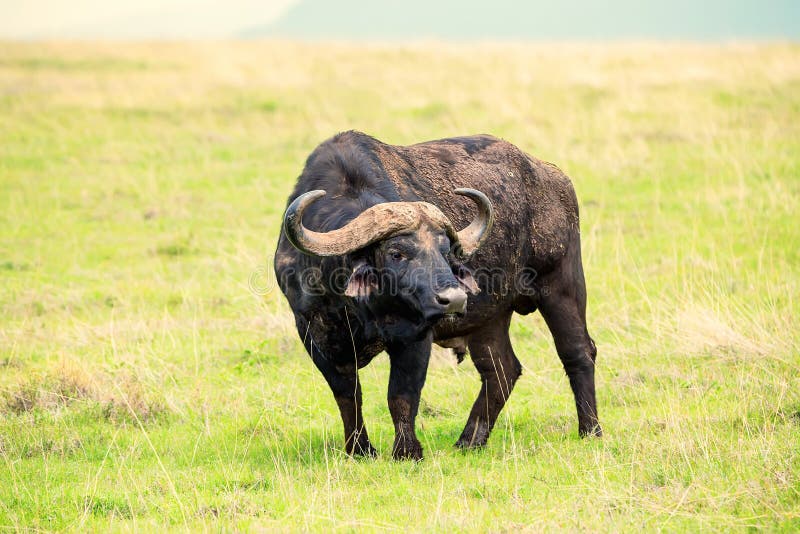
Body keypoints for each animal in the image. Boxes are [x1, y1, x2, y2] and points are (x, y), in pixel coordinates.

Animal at [274, 130, 600, 460]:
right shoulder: (313, 334)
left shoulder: (415, 336)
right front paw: (359, 449)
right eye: (396, 253)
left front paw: (406, 452)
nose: (454, 299)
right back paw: (469, 440)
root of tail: (553, 178)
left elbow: (401, 396)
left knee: (577, 351)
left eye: (446, 251)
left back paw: (590, 430)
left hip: (561, 284)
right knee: (501, 370)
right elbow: (347, 396)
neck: (360, 309)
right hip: (490, 318)